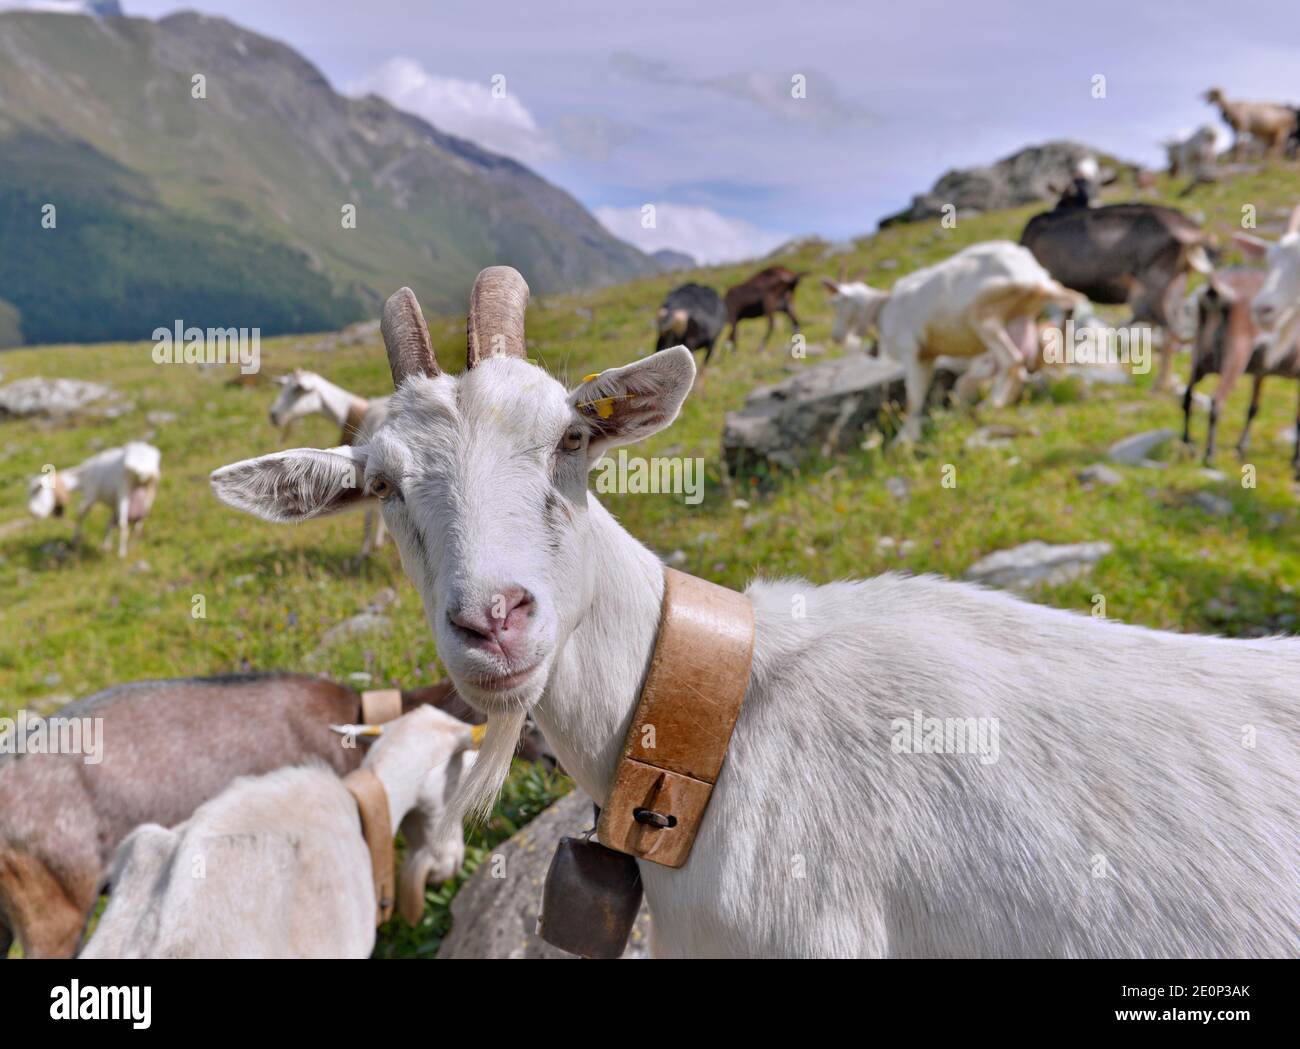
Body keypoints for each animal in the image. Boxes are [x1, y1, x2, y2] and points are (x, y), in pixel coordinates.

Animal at [27, 442, 160, 558]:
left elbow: (80, 514)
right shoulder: (114, 504)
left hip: (124, 490)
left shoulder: (90, 496)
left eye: (36, 491)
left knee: (124, 523)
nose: (32, 513)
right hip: (149, 491)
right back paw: (132, 546)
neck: (82, 476)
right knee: (138, 524)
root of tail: (142, 462)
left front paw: (74, 541)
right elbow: (109, 523)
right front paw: (105, 546)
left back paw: (121, 554)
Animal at [822, 243, 1081, 442]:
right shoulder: (927, 355)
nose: (836, 336)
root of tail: (1030, 271)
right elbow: (919, 395)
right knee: (1070, 304)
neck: (882, 308)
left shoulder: (912, 352)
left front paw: (905, 440)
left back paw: (992, 403)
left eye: (835, 303)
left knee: (1013, 360)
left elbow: (914, 398)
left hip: (985, 313)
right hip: (1024, 313)